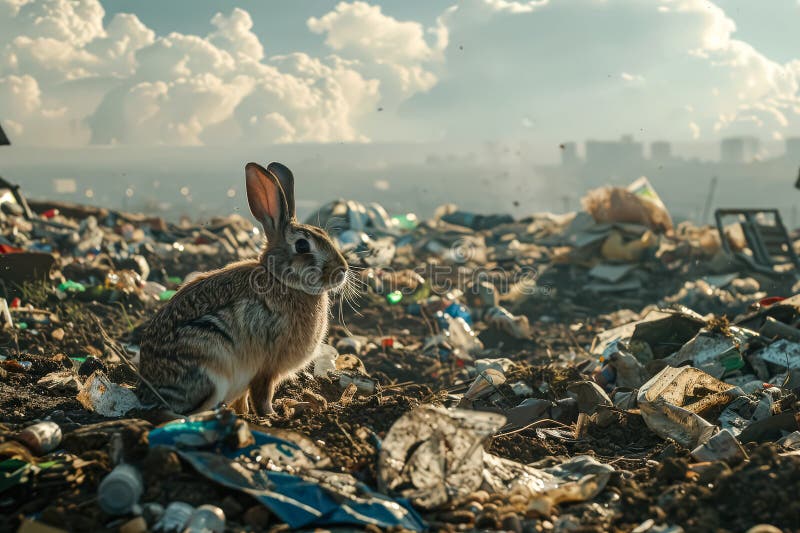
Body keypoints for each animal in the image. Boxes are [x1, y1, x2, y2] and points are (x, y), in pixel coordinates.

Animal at [135, 162, 348, 416]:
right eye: (302, 246)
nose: (343, 270)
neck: (281, 278)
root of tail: (148, 393)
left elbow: (244, 398)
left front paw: (246, 413)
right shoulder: (267, 367)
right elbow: (262, 395)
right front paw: (272, 416)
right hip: (211, 367)